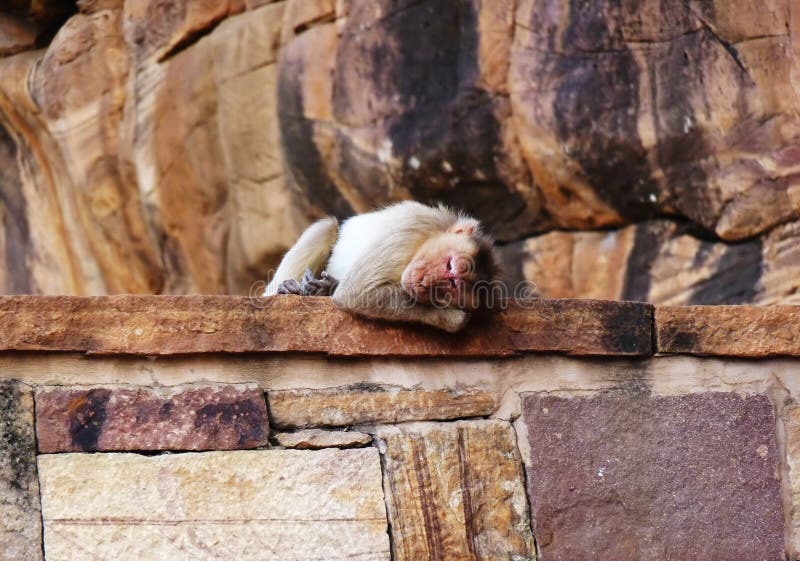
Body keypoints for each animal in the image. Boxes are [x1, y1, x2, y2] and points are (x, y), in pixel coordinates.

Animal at [263, 201, 502, 332]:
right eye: (449, 265)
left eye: (450, 289)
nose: (423, 283)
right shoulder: (415, 223)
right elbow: (356, 293)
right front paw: (453, 319)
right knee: (328, 227)